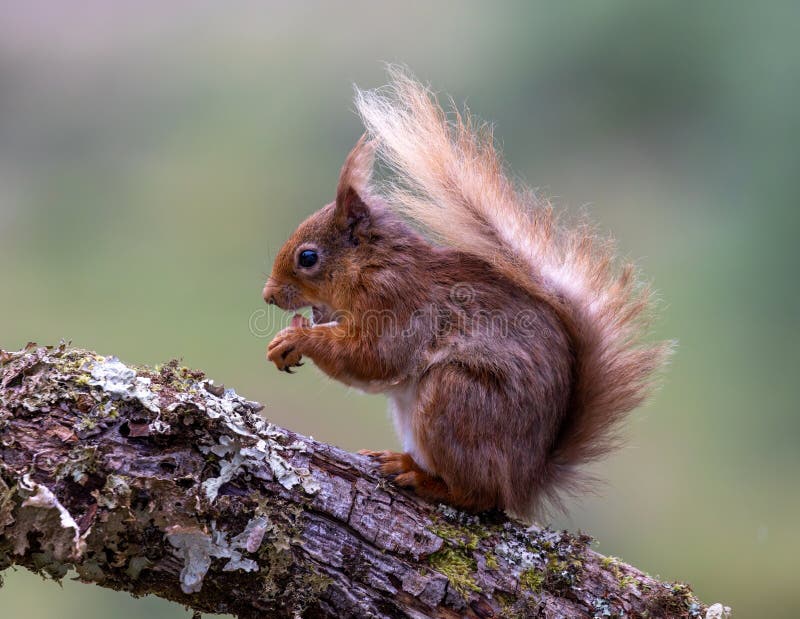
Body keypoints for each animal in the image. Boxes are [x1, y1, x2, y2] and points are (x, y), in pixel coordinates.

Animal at [262, 69, 671, 518]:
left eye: (308, 257)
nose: (268, 295)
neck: (372, 266)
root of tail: (526, 481)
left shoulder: (398, 302)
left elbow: (373, 357)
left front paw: (296, 337)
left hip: (455, 398)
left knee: (480, 494)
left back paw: (418, 474)